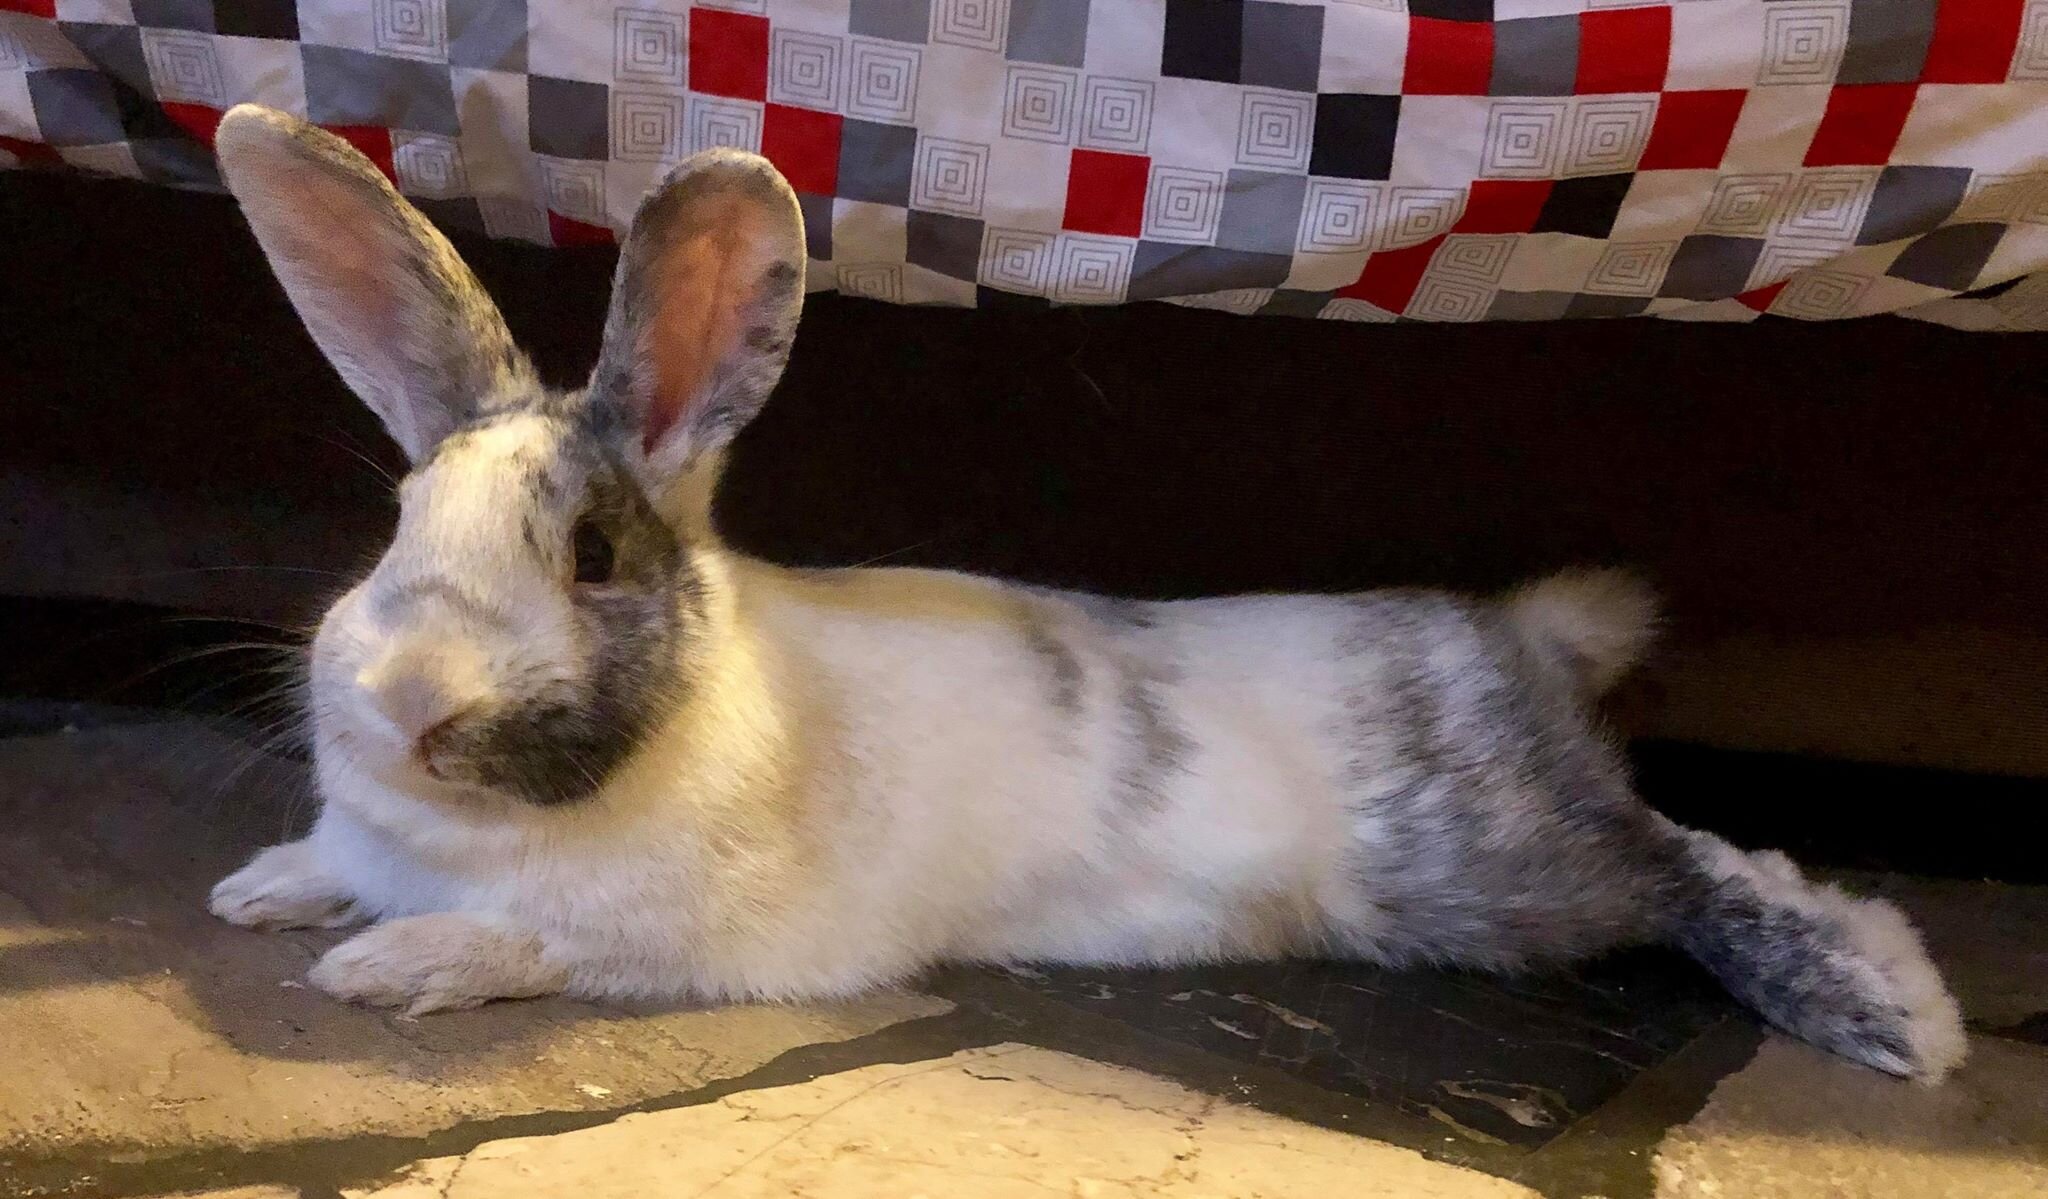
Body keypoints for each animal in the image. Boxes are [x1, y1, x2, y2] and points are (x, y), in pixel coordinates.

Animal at [204, 103, 1966, 1084]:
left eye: (591, 555)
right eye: (397, 519)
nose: (409, 702)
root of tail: (1510, 639)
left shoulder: (674, 942)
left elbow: (524, 946)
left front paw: (384, 966)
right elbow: (333, 864)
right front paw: (262, 890)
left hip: (1499, 871)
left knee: (1706, 864)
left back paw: (1895, 1010)